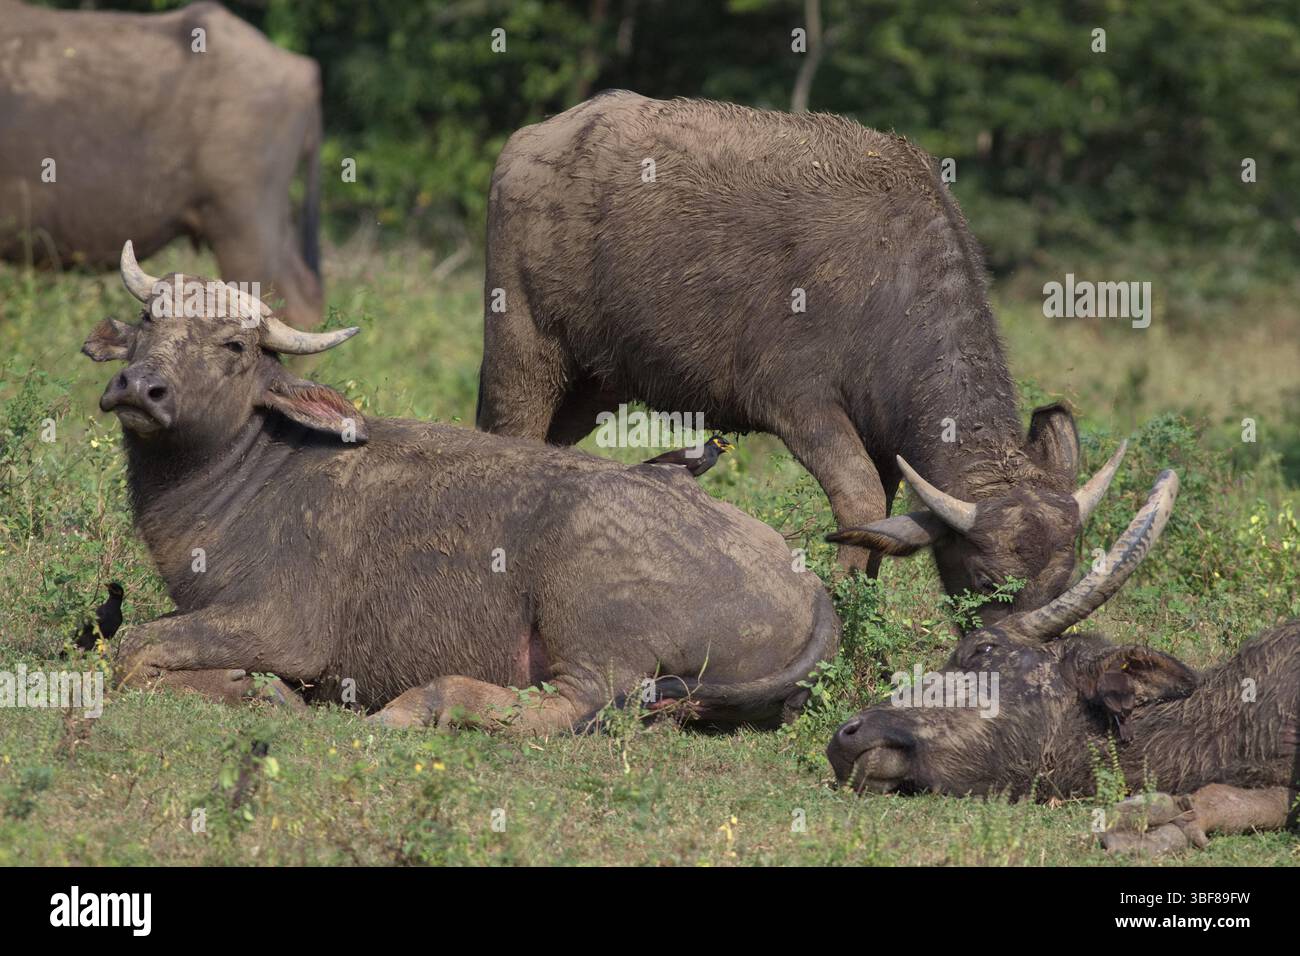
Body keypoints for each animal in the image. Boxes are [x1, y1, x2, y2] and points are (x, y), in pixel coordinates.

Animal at [80, 242, 840, 732]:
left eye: (235, 347)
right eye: (149, 320)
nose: (139, 388)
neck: (247, 475)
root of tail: (808, 583)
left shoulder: (282, 627)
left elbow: (133, 650)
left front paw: (260, 694)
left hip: (590, 622)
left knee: (576, 704)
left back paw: (424, 704)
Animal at [475, 91, 1125, 628]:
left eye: (1060, 584)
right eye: (989, 582)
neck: (891, 285)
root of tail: (528, 142)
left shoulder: (884, 432)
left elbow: (880, 514)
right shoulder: (798, 403)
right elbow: (860, 498)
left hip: (594, 382)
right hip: (523, 349)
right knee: (510, 431)